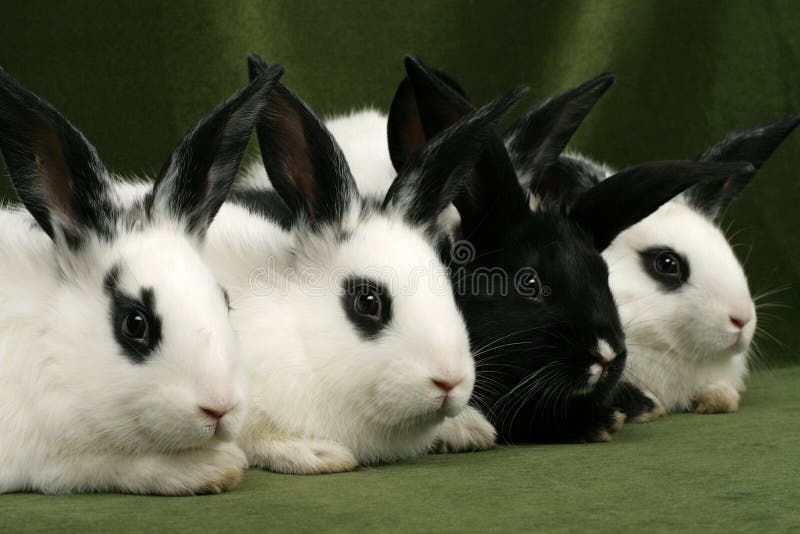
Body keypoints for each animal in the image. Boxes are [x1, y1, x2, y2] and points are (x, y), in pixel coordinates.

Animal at [0, 64, 284, 494]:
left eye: (225, 302)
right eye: (135, 324)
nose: (219, 406)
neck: (52, 345)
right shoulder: (56, 459)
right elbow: (127, 465)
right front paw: (216, 467)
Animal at [198, 54, 527, 474]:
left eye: (449, 288)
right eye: (367, 302)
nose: (449, 381)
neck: (302, 340)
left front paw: (470, 429)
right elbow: (257, 436)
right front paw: (316, 454)